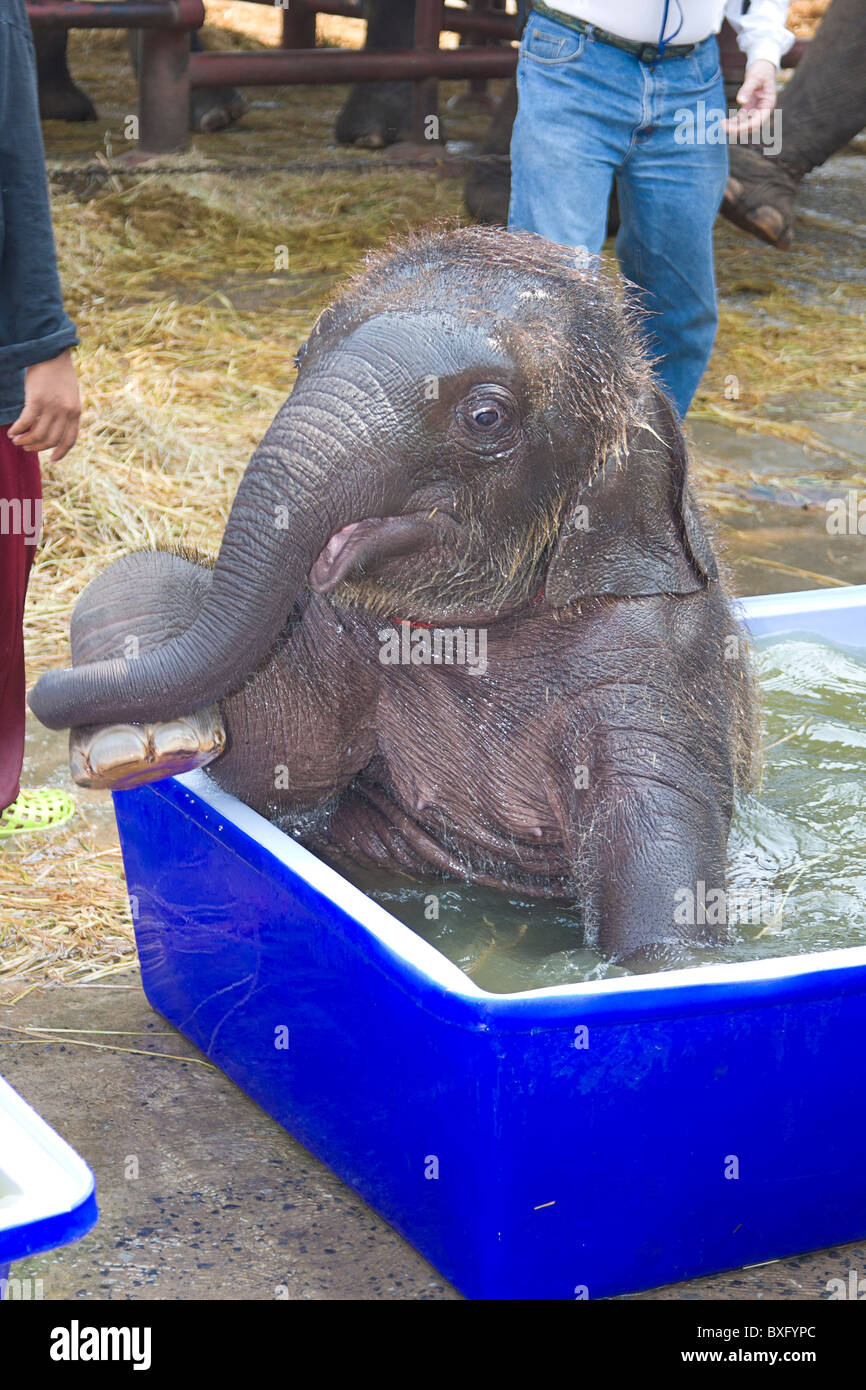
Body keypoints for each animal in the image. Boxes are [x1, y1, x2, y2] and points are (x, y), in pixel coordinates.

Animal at [29, 227, 759, 964]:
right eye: (300, 358)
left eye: (486, 416)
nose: (36, 689)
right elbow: (275, 764)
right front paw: (142, 747)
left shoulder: (659, 662)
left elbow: (657, 876)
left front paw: (662, 966)